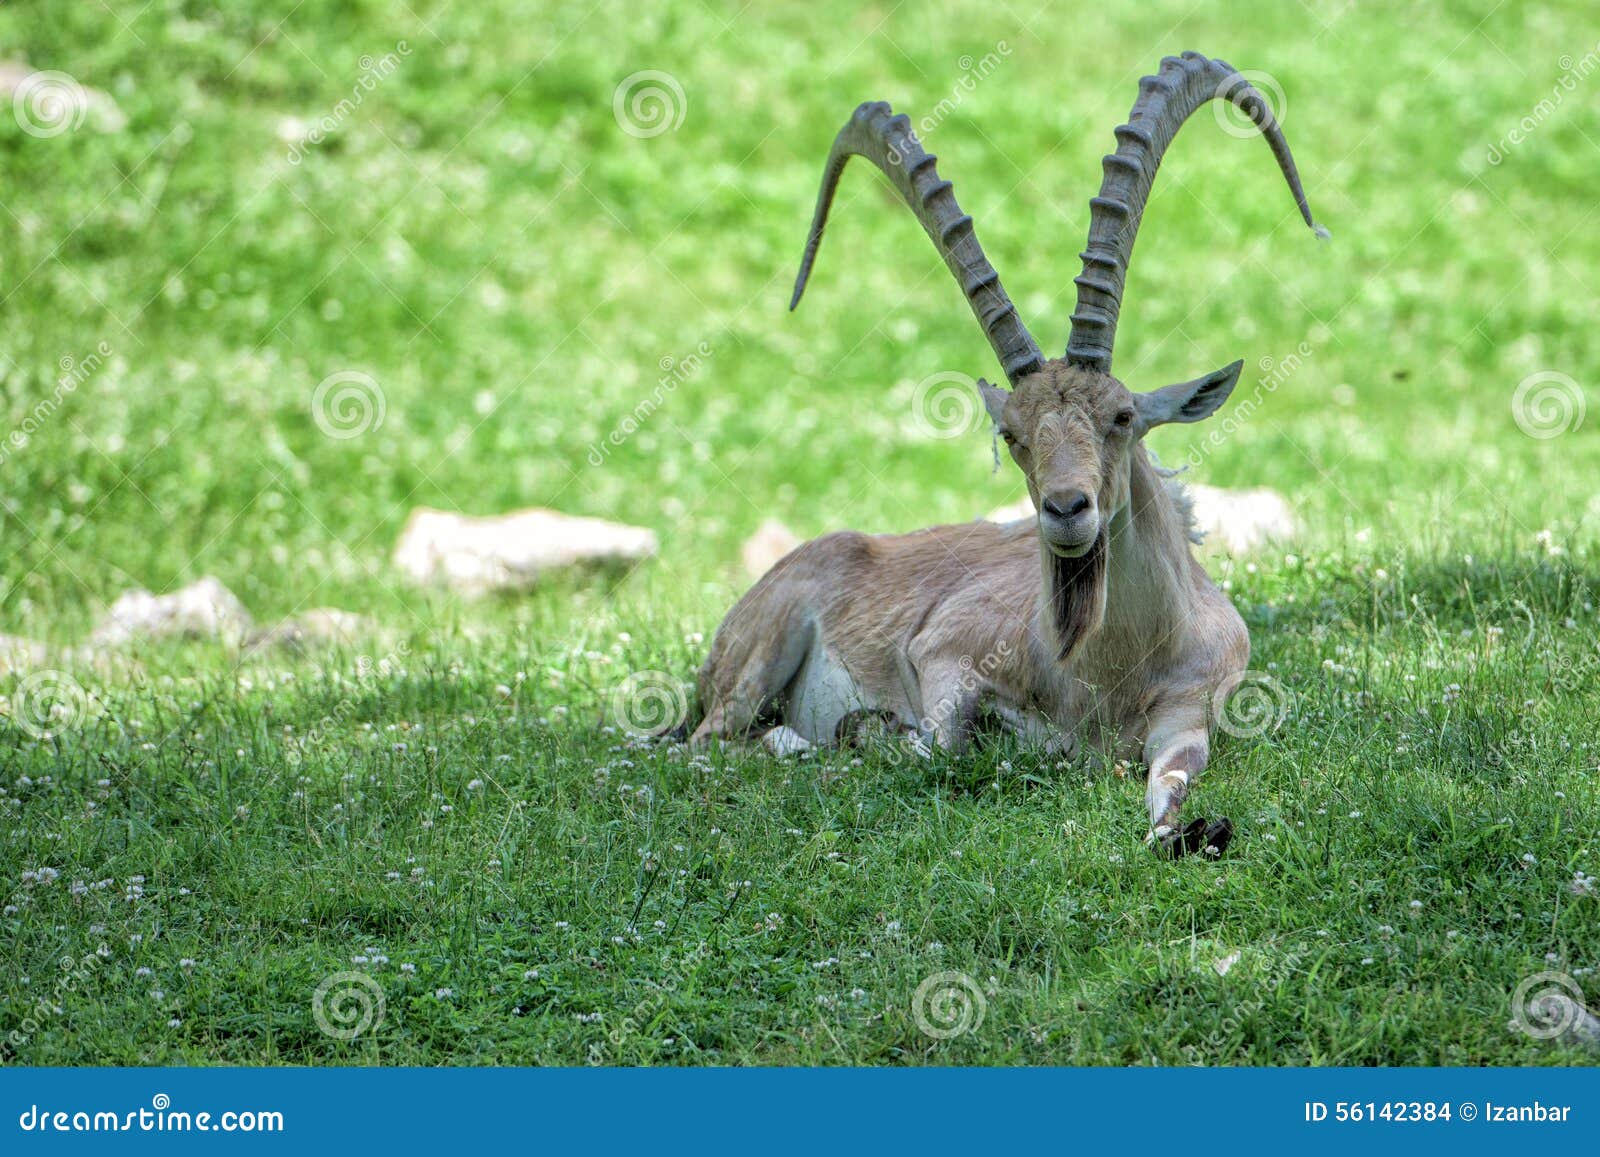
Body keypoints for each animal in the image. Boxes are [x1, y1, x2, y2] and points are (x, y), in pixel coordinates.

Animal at [689, 52, 1324, 857]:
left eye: (1122, 417)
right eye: (1012, 435)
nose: (1066, 509)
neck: (1112, 670)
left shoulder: (1194, 711)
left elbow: (1172, 778)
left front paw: (1189, 830)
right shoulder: (942, 653)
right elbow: (939, 745)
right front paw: (872, 731)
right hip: (761, 655)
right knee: (714, 743)